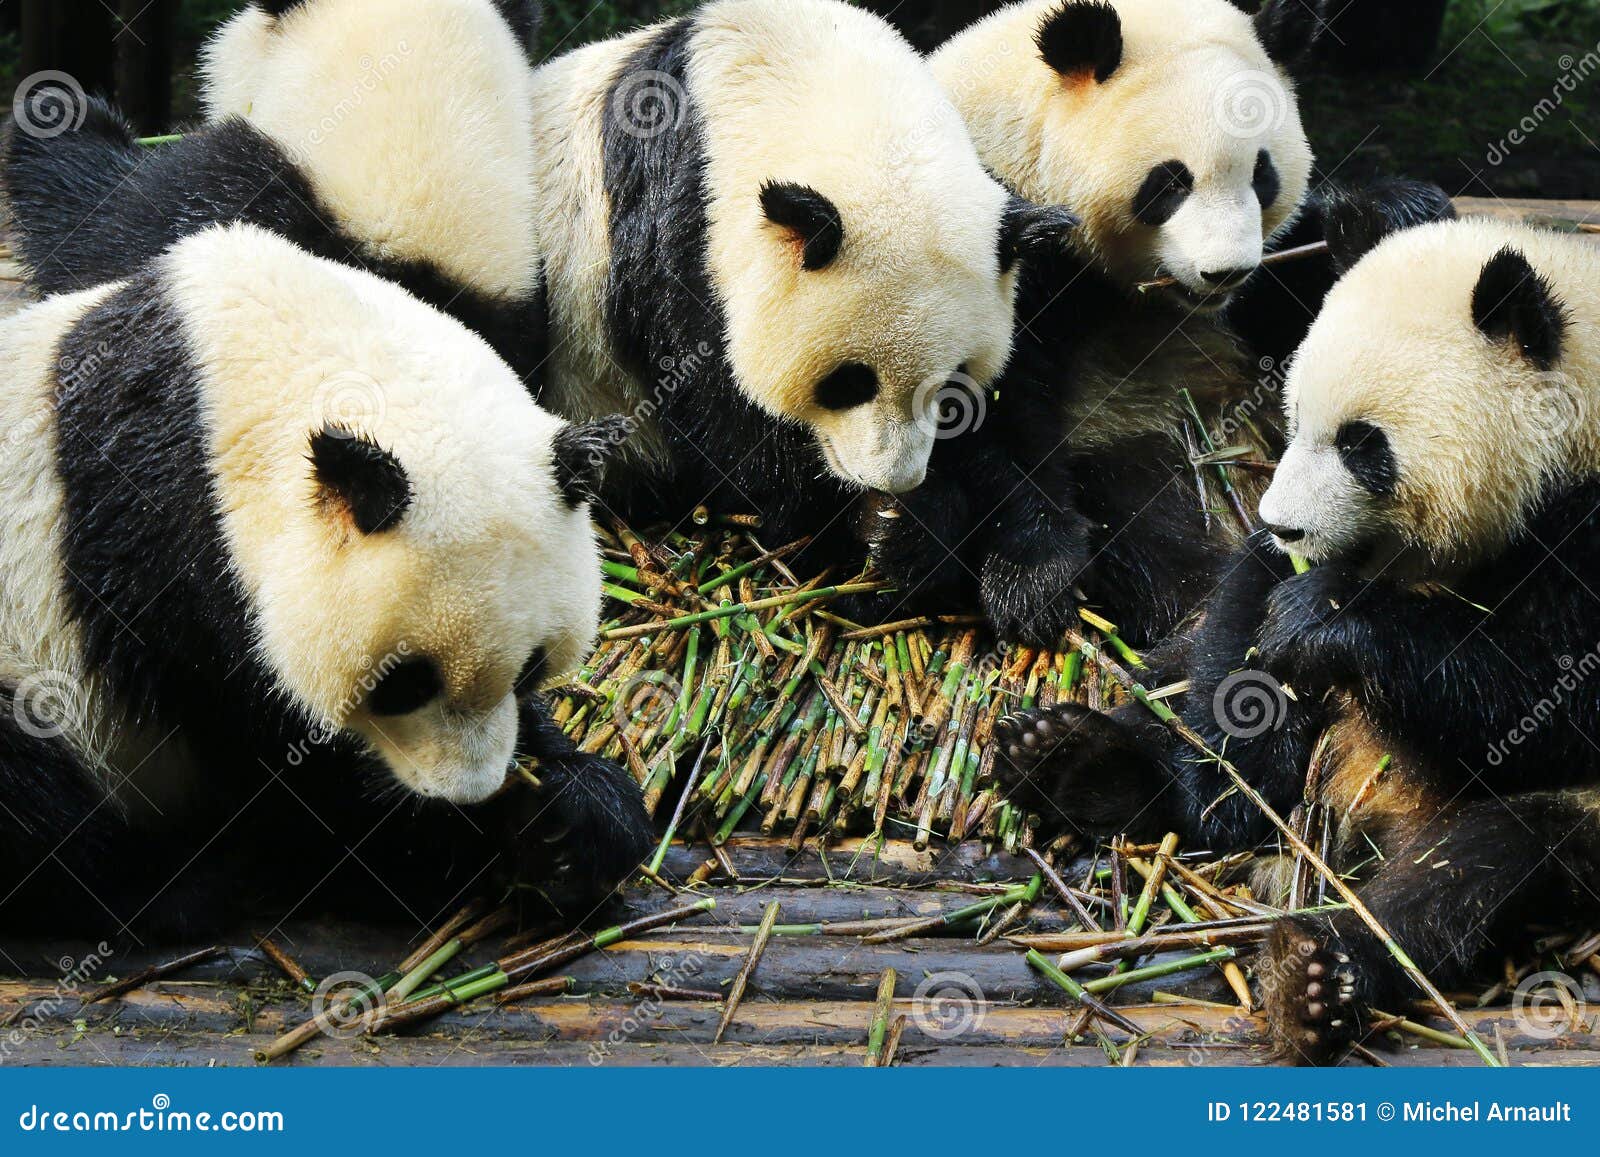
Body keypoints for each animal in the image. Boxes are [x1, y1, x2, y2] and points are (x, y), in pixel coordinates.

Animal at [0, 223, 651, 935]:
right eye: (404, 683)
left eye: (533, 667)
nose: (467, 789)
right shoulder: (163, 555)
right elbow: (274, 766)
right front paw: (468, 842)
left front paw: (575, 815)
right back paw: (187, 887)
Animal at [526, 0, 1077, 561]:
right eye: (850, 381)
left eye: (952, 389)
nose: (893, 479)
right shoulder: (680, 242)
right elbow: (729, 433)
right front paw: (876, 525)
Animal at [863, 0, 1452, 647]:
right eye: (1170, 182)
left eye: (1262, 175)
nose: (1225, 272)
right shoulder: (994, 232)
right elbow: (985, 405)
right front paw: (1036, 577)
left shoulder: (1262, 284)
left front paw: (1391, 214)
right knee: (1148, 525)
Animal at [990, 216, 1600, 1064]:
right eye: (1295, 418)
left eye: (1361, 443)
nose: (1282, 523)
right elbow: (1240, 622)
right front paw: (1240, 767)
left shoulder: (1588, 526)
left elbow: (1550, 695)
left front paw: (1325, 622)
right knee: (1170, 685)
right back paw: (1075, 760)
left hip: (1553, 821)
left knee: (1468, 869)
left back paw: (1315, 976)